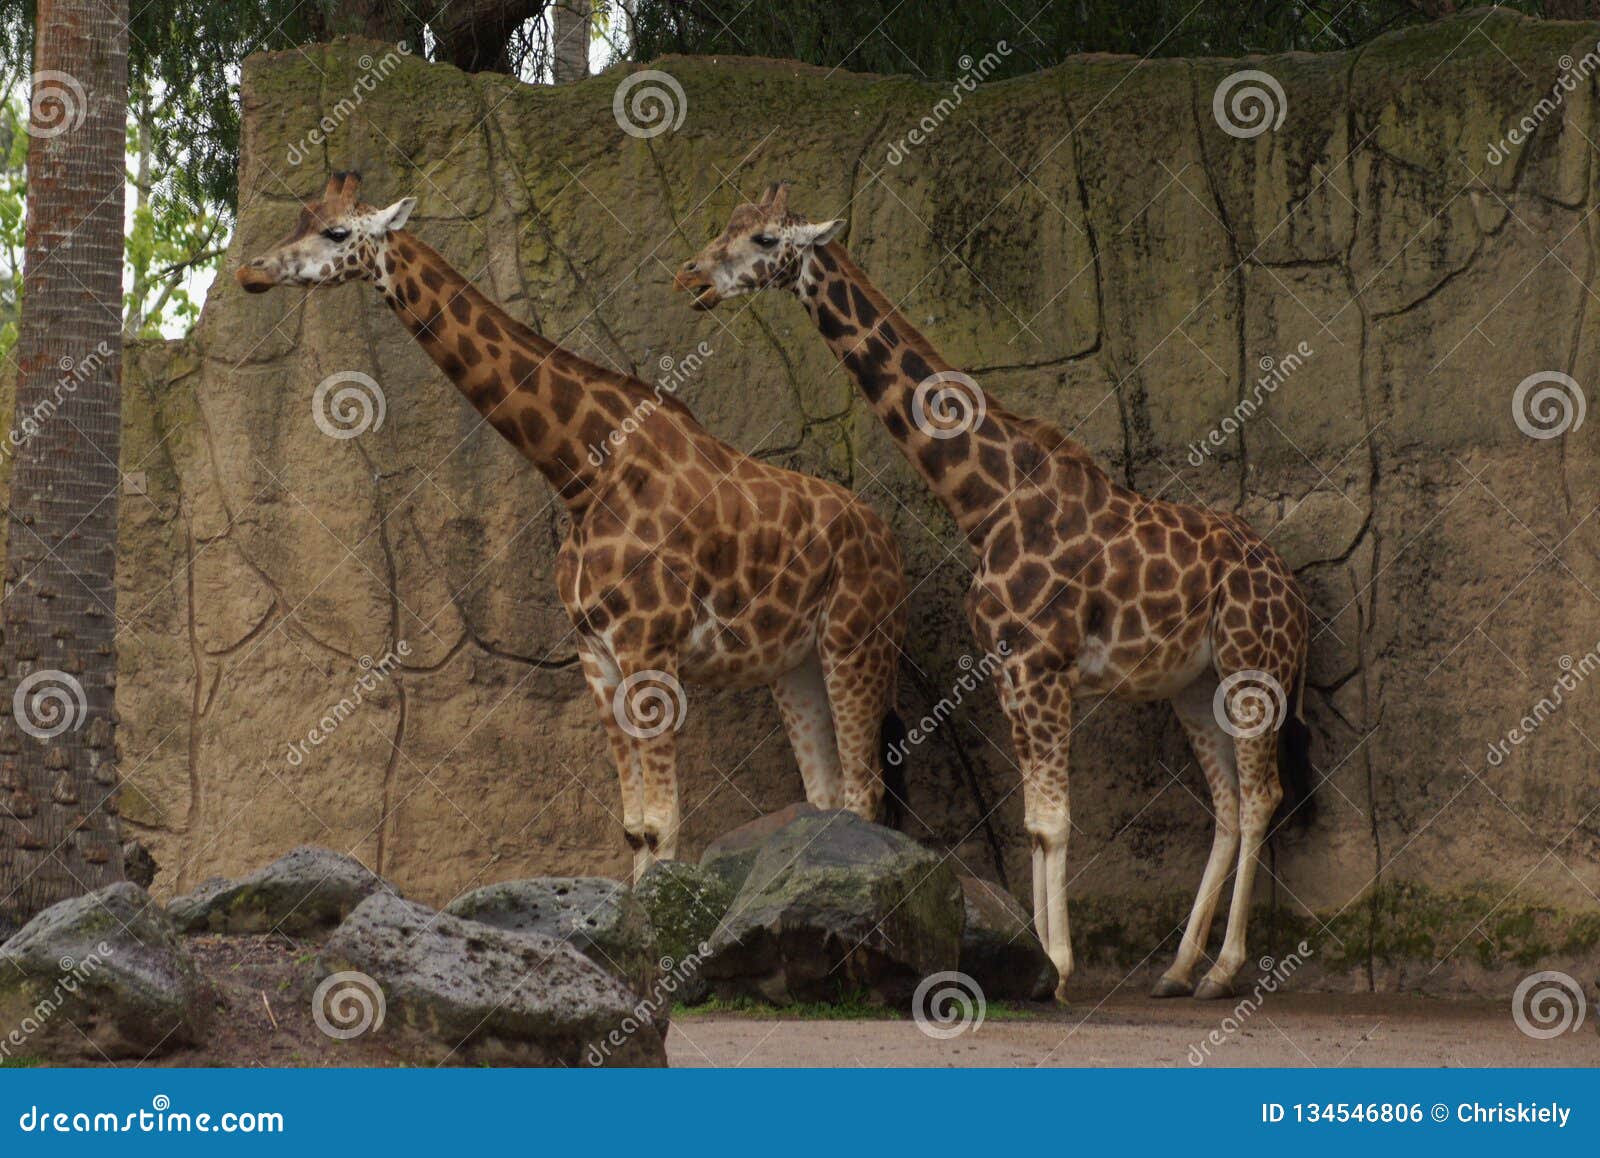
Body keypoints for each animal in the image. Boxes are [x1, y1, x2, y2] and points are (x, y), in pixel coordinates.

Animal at [236, 172, 909, 882]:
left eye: (337, 231)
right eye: (300, 218)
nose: (250, 270)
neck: (583, 476)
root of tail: (893, 545)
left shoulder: (650, 646)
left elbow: (664, 823)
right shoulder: (595, 653)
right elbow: (636, 827)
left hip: (857, 643)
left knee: (864, 791)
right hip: (796, 662)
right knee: (828, 793)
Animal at [677, 183, 1313, 1001]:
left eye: (761, 239)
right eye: (724, 224)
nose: (692, 277)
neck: (985, 501)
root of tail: (1292, 591)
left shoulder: (1042, 666)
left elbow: (1053, 821)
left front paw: (1060, 967)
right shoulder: (1012, 669)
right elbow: (1033, 823)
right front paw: (1037, 958)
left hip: (1250, 668)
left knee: (1262, 797)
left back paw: (1224, 971)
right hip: (1193, 684)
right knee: (1229, 806)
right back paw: (1178, 969)